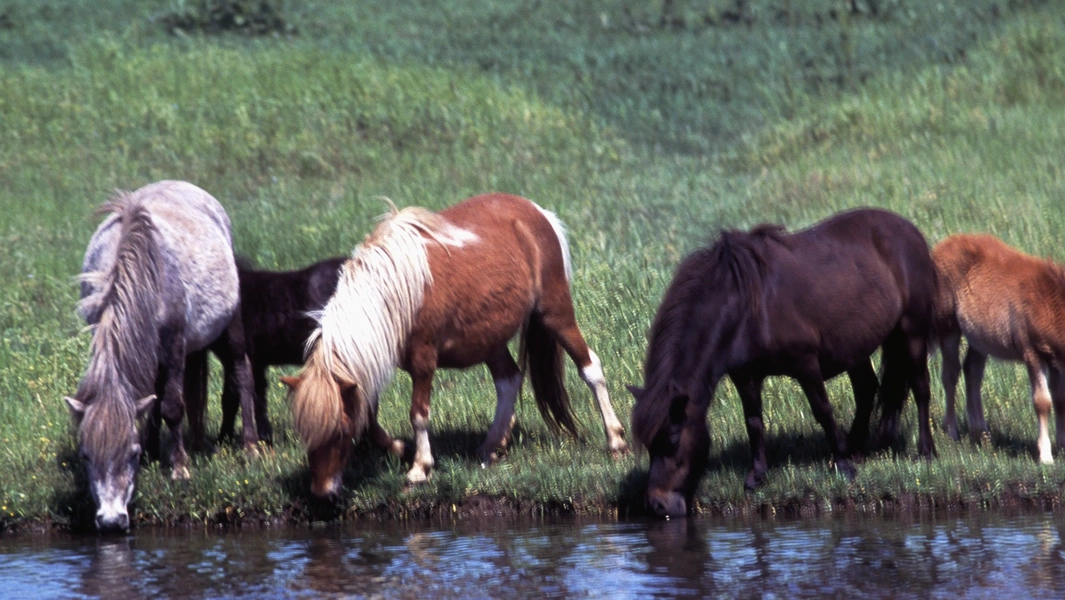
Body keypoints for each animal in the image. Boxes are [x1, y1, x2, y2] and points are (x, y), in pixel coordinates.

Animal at [65, 180, 259, 532]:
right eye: (86, 456)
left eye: (130, 453)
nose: (111, 521)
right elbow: (152, 401)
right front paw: (155, 452)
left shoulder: (174, 346)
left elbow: (171, 406)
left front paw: (179, 468)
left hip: (230, 325)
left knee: (242, 373)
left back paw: (250, 448)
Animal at [213, 256, 346, 445]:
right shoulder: (255, 361)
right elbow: (258, 396)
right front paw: (264, 438)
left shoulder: (234, 356)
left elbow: (230, 399)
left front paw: (222, 440)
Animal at [280, 193, 628, 499]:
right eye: (304, 433)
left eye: (339, 432)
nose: (321, 493)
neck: (394, 290)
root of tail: (538, 212)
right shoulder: (368, 367)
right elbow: (369, 421)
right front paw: (400, 449)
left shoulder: (423, 360)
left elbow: (418, 414)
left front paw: (419, 469)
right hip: (491, 338)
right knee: (509, 380)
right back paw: (492, 447)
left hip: (554, 314)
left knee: (590, 368)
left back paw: (616, 441)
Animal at [628, 208, 938, 517]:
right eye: (649, 445)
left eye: (672, 441)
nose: (657, 504)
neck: (744, 307)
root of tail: (908, 230)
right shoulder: (745, 374)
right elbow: (753, 421)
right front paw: (756, 476)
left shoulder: (806, 363)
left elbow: (822, 410)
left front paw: (842, 465)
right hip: (856, 347)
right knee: (866, 390)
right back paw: (857, 448)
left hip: (912, 330)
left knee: (920, 387)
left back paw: (925, 450)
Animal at [934, 233, 1065, 463]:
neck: (1049, 302)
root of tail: (941, 246)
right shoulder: (1032, 353)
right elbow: (1042, 401)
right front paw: (1046, 455)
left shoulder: (1054, 358)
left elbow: (1060, 399)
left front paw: (1062, 445)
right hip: (949, 326)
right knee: (950, 374)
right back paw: (951, 432)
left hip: (980, 338)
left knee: (972, 371)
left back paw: (982, 434)